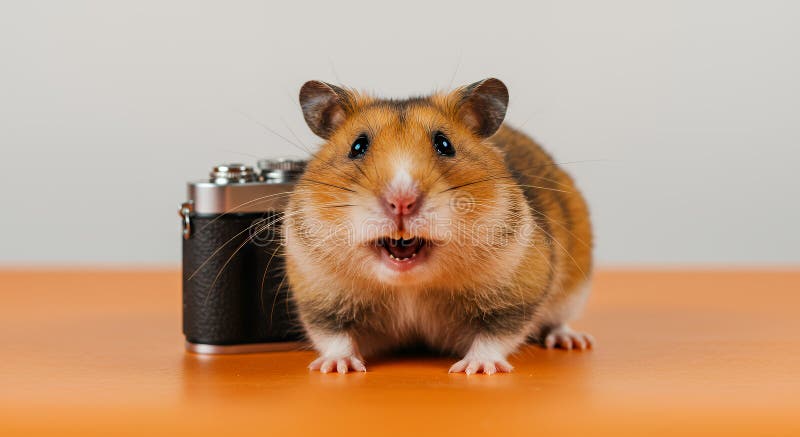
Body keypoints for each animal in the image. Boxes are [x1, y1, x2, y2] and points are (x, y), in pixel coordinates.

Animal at [284, 78, 593, 375]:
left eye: (445, 144)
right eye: (357, 147)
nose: (402, 201)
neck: (409, 285)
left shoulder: (516, 294)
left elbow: (495, 336)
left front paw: (475, 368)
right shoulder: (319, 297)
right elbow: (334, 336)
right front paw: (334, 367)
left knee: (558, 321)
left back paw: (572, 341)